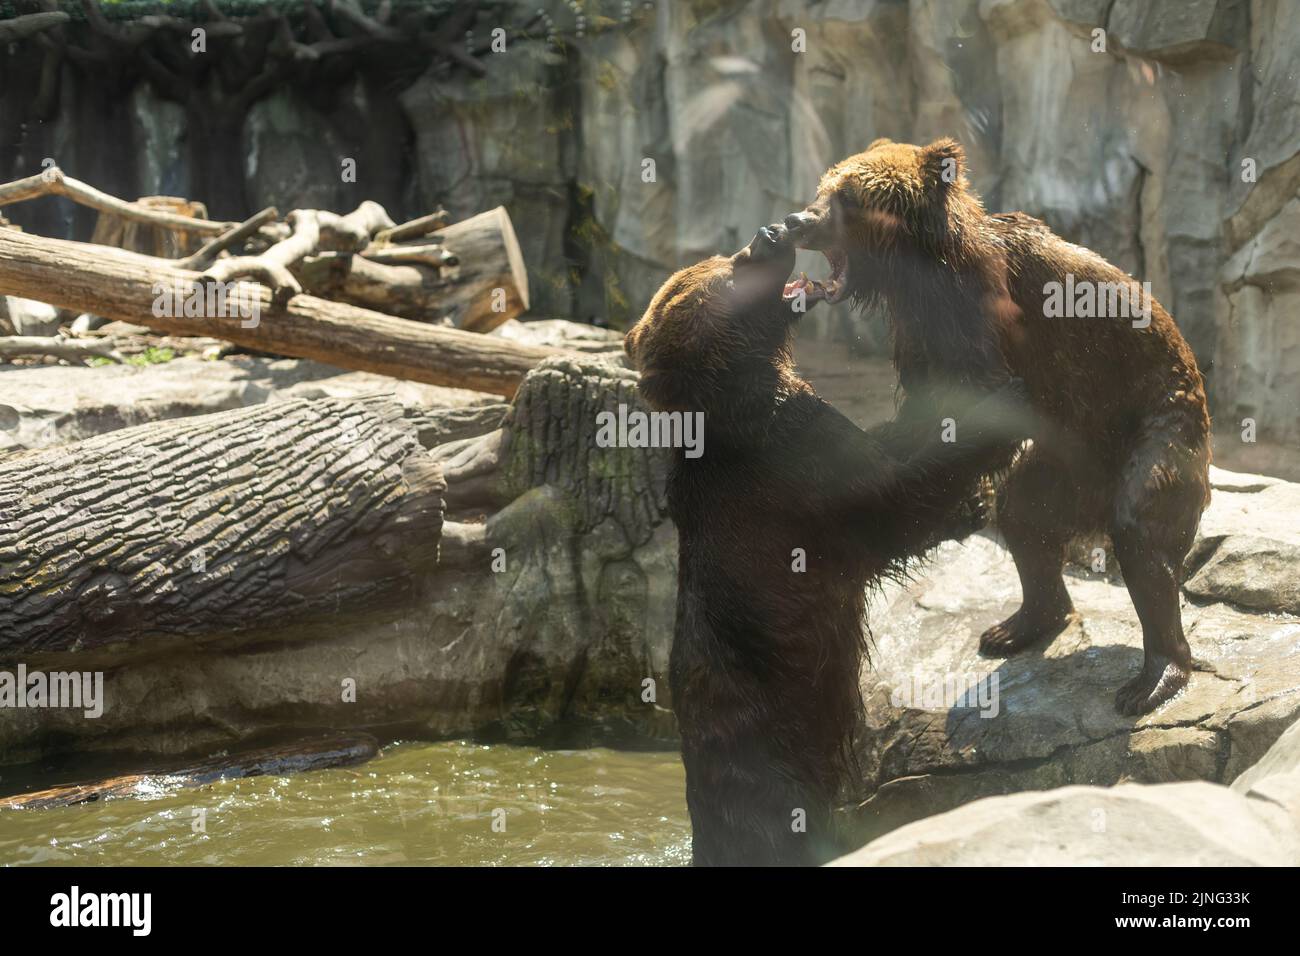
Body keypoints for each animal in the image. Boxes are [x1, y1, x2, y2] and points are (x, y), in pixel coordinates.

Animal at [624, 222, 1029, 866]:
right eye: (732, 271)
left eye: (725, 256)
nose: (769, 234)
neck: (736, 406)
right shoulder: (793, 472)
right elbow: (889, 505)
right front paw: (995, 413)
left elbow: (889, 451)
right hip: (767, 748)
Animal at [781, 137, 1212, 715]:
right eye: (824, 187)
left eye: (847, 196)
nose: (797, 219)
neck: (917, 267)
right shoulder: (920, 329)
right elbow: (927, 406)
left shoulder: (983, 313)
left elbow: (988, 404)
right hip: (1071, 460)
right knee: (1029, 514)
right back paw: (1016, 626)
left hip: (1158, 424)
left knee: (1143, 535)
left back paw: (1152, 679)